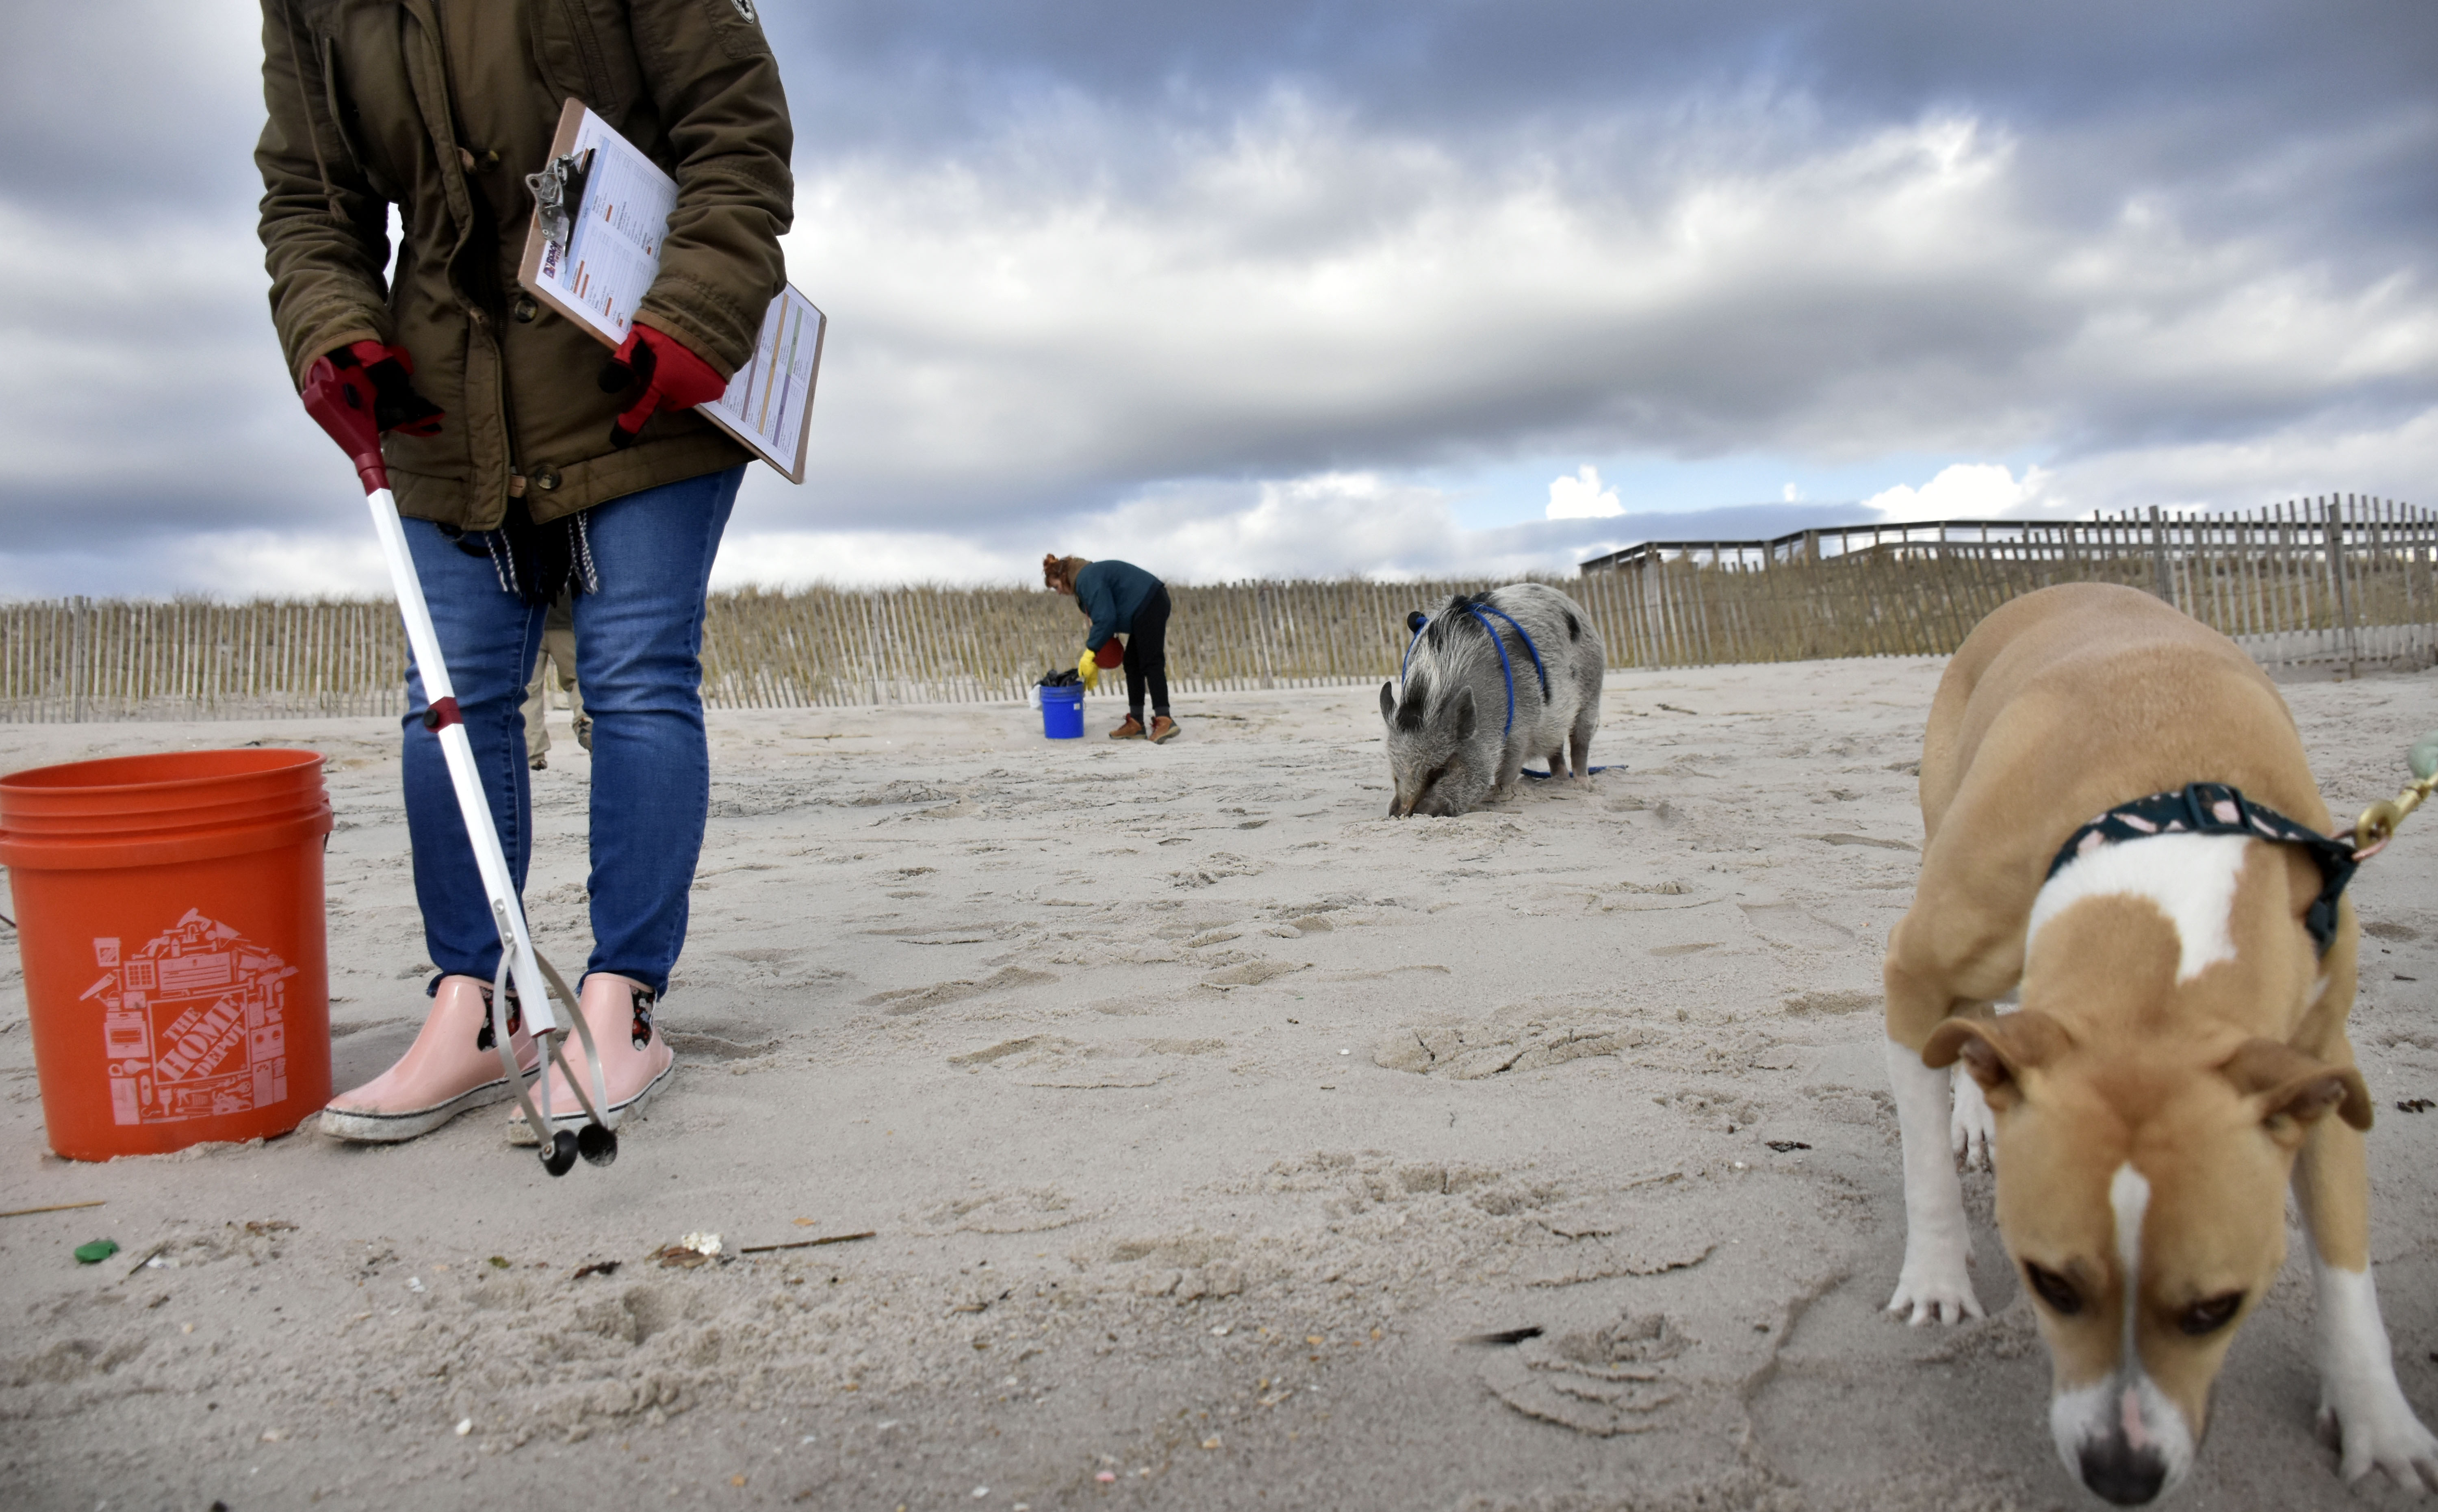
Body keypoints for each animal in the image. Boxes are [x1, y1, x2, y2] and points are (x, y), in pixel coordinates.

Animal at [1380, 582, 1605, 816]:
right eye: (1396, 775)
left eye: (1441, 770)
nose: (1400, 813)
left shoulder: (1522, 730)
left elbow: (1508, 770)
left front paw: (1497, 794)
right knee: (1556, 747)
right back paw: (1558, 782)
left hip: (1592, 692)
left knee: (1580, 742)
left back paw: (1582, 785)